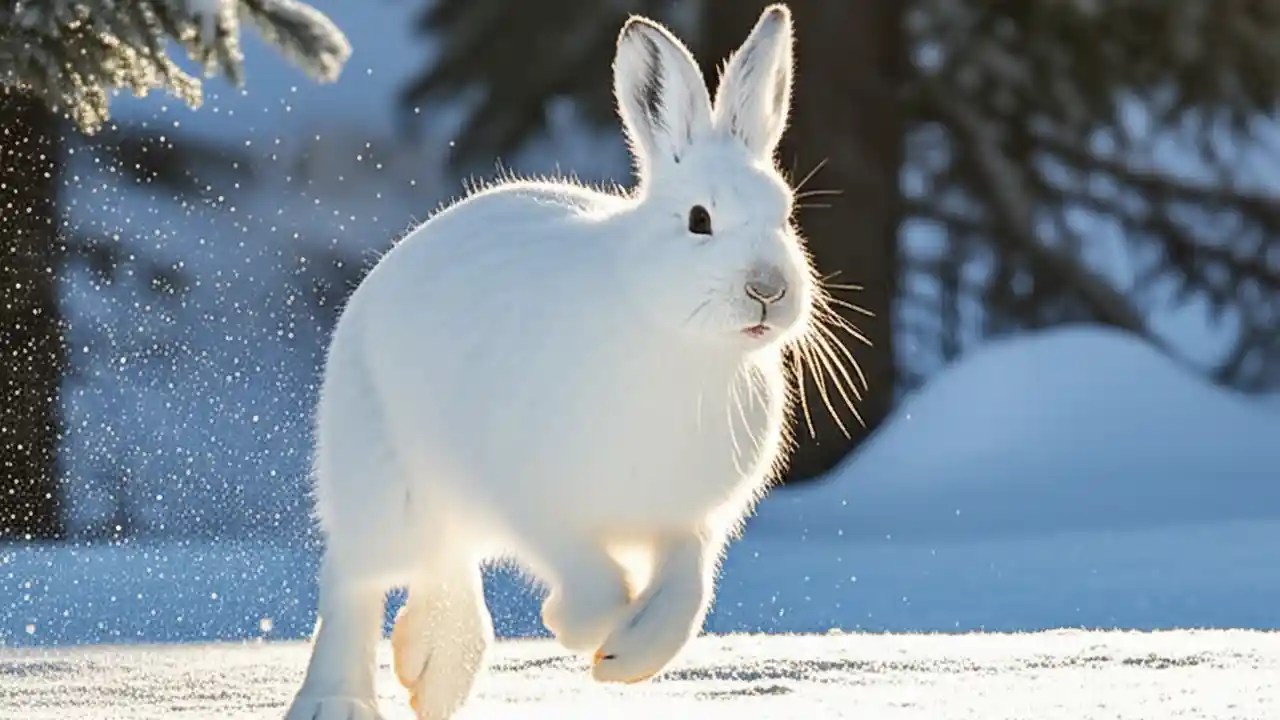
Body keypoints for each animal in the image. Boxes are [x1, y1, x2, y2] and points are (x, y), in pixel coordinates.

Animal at [285, 5, 843, 720]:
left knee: (442, 561)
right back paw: (340, 700)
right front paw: (575, 629)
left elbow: (686, 597)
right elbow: (602, 585)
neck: (680, 341)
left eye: (787, 215)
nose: (769, 290)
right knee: (356, 578)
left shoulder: (688, 522)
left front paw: (624, 659)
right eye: (699, 220)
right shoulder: (537, 504)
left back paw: (433, 671)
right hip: (385, 479)